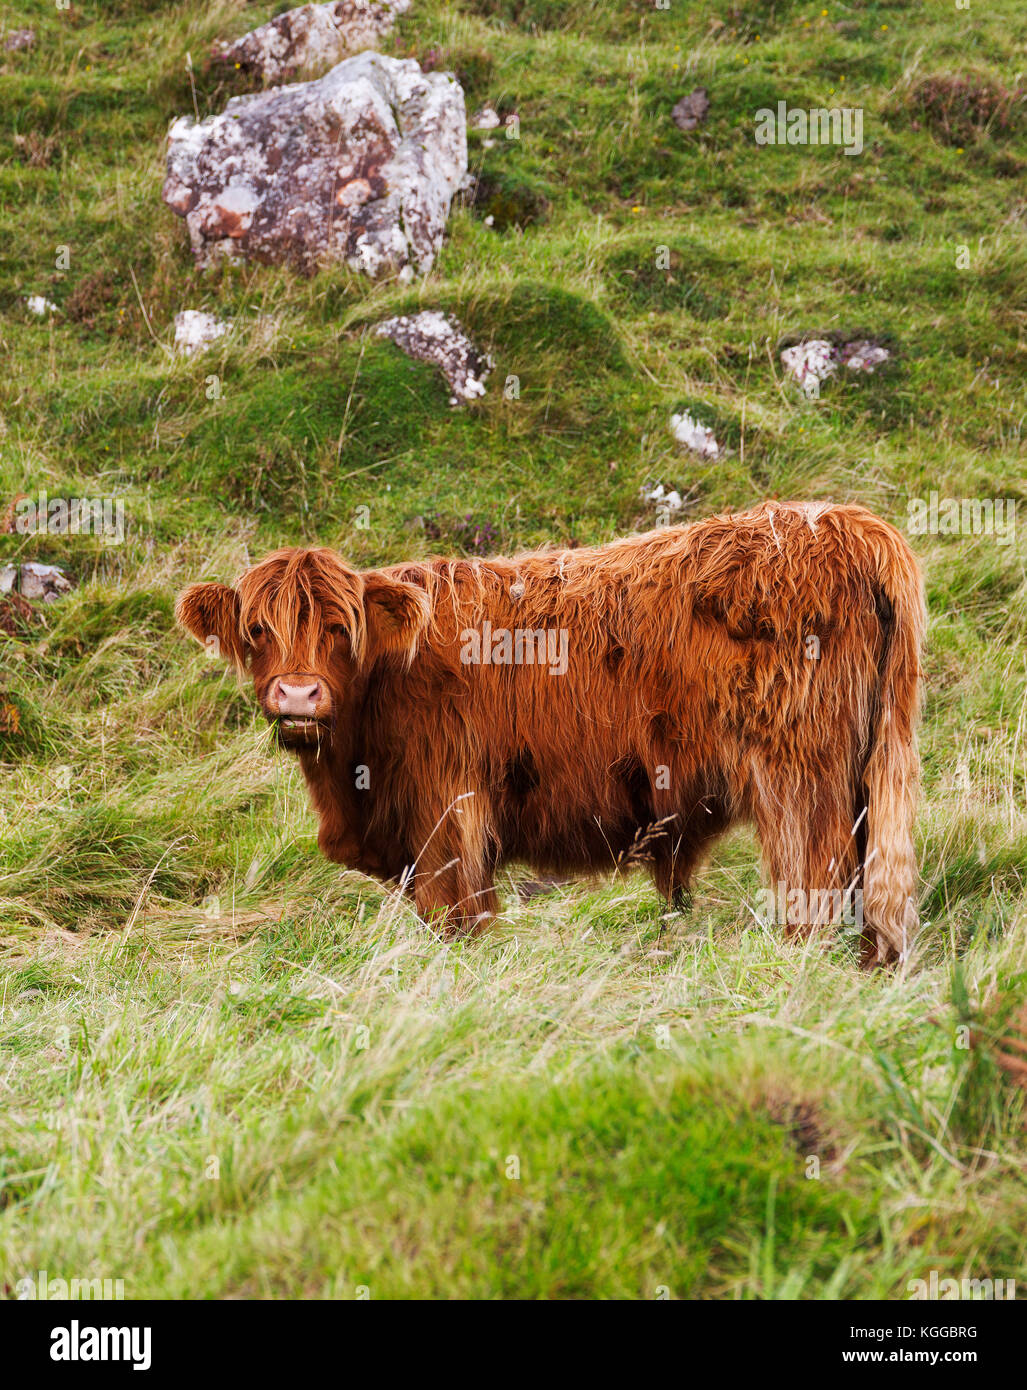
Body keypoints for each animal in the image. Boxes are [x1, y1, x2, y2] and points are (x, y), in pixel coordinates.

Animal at [177, 501, 925, 966]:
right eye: (255, 630)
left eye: (339, 628)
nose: (298, 694)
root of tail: (842, 522)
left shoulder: (445, 824)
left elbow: (457, 921)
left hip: (797, 780)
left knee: (816, 881)